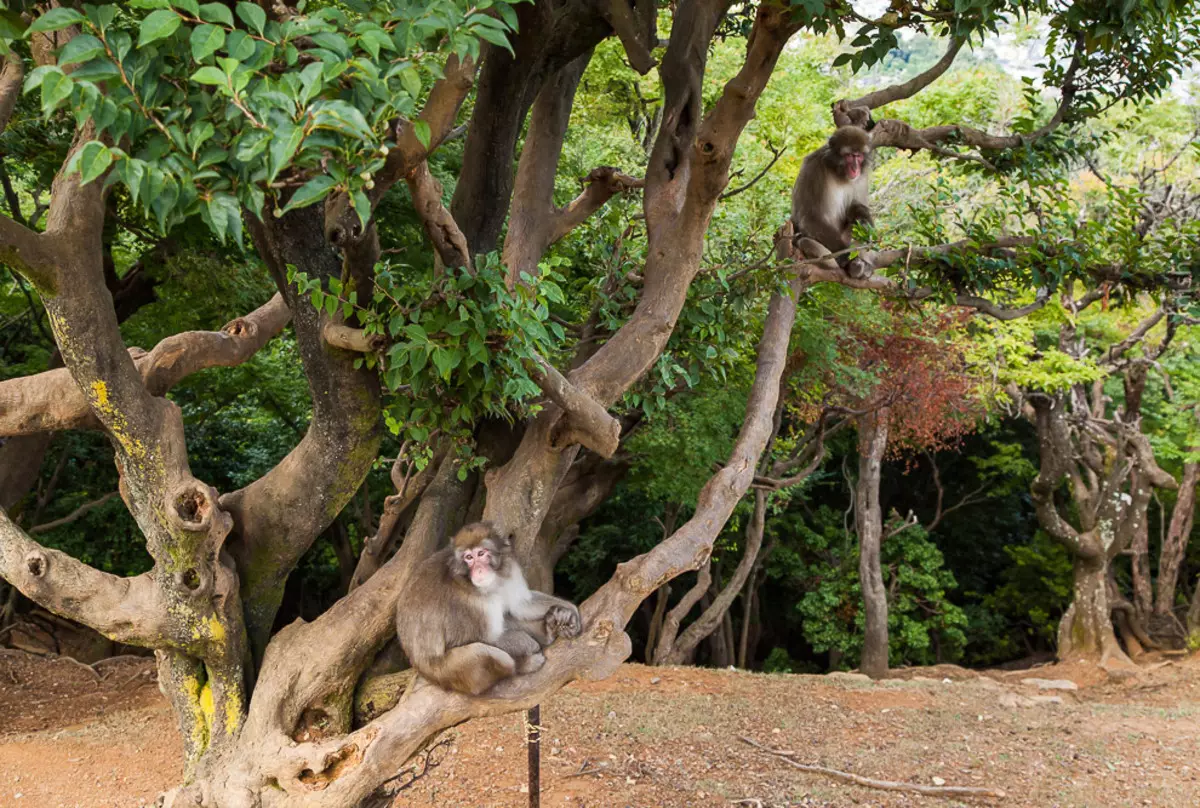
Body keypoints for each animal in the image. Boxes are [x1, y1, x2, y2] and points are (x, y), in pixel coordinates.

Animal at [396, 523, 583, 691]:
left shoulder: (508, 569)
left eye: (481, 553)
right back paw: (523, 665)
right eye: (468, 558)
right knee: (486, 652)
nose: (479, 570)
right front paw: (529, 645)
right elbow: (481, 638)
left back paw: (547, 631)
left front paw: (570, 612)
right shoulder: (465, 602)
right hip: (449, 674)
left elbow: (521, 604)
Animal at [792, 124, 878, 278]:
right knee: (805, 241)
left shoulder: (862, 178)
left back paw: (862, 266)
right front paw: (845, 257)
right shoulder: (813, 170)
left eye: (859, 156)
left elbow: (859, 209)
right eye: (849, 156)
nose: (855, 168)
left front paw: (863, 216)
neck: (838, 172)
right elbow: (810, 218)